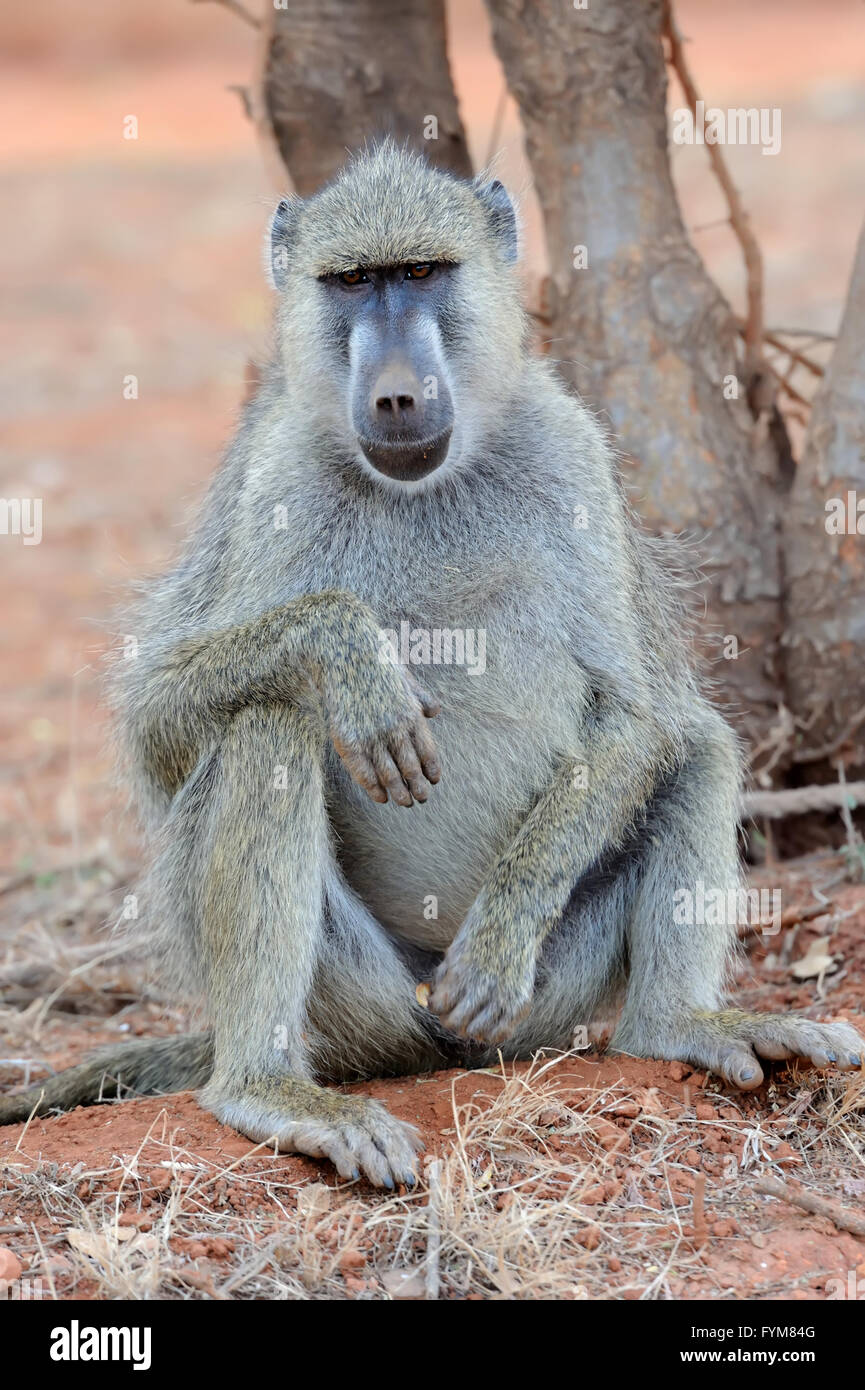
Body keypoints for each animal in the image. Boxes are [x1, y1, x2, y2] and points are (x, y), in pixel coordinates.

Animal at [1, 140, 861, 1189]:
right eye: (352, 283)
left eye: (420, 273)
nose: (397, 394)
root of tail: (436, 1046)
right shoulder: (272, 472)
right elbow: (158, 718)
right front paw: (350, 654)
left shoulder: (572, 451)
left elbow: (641, 712)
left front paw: (498, 934)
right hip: (361, 1006)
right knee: (267, 725)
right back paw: (265, 1089)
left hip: (543, 1002)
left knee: (698, 746)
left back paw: (675, 1025)